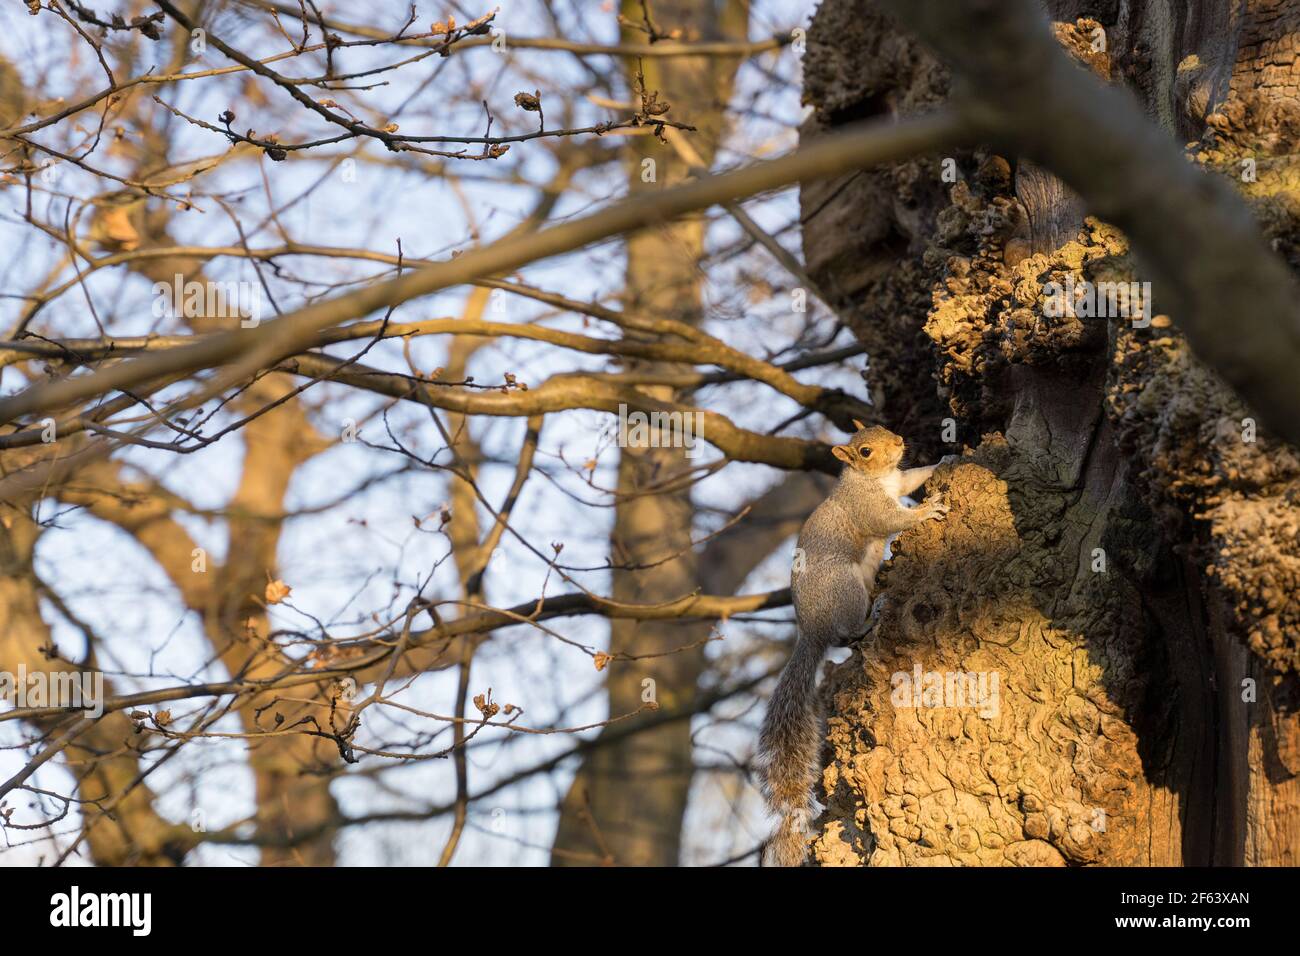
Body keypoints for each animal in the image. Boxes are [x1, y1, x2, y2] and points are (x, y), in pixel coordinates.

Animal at [756, 422, 950, 867]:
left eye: (885, 429)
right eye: (864, 451)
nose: (899, 442)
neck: (871, 478)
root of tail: (811, 631)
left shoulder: (899, 481)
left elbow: (915, 477)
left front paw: (947, 460)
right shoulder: (868, 507)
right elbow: (891, 517)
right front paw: (925, 511)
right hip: (846, 589)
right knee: (846, 634)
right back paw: (869, 620)